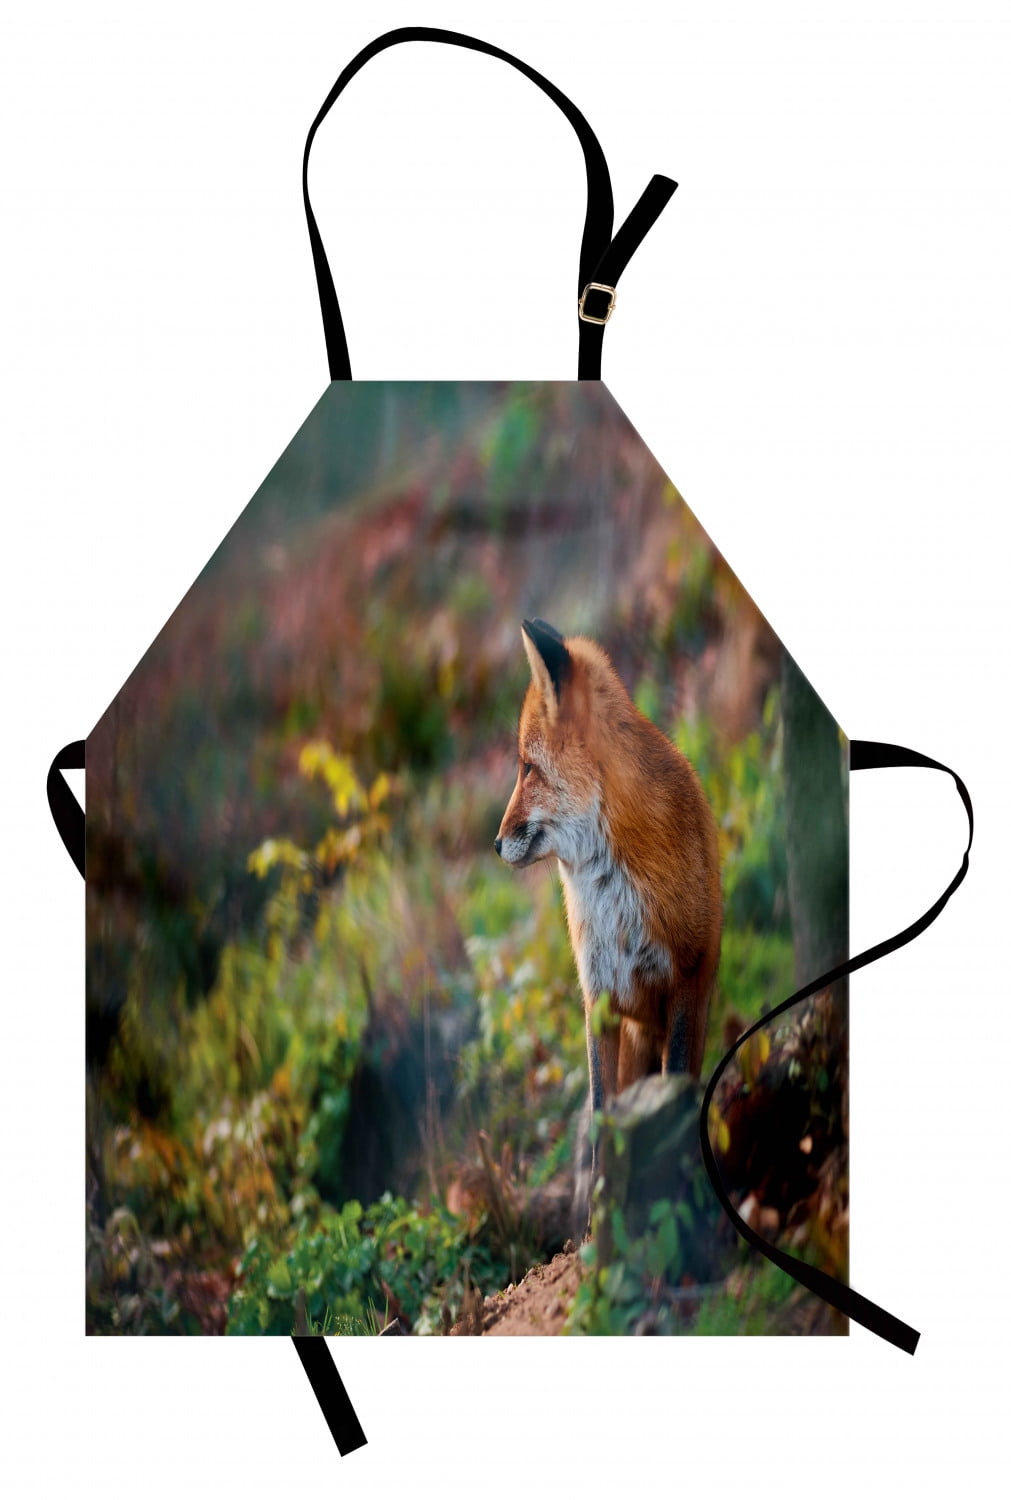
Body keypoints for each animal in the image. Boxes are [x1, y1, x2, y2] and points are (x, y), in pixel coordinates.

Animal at [495, 618, 721, 1117]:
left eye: (527, 767)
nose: (495, 844)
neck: (610, 894)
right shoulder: (598, 996)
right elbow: (601, 1106)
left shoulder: (685, 975)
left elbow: (675, 1080)